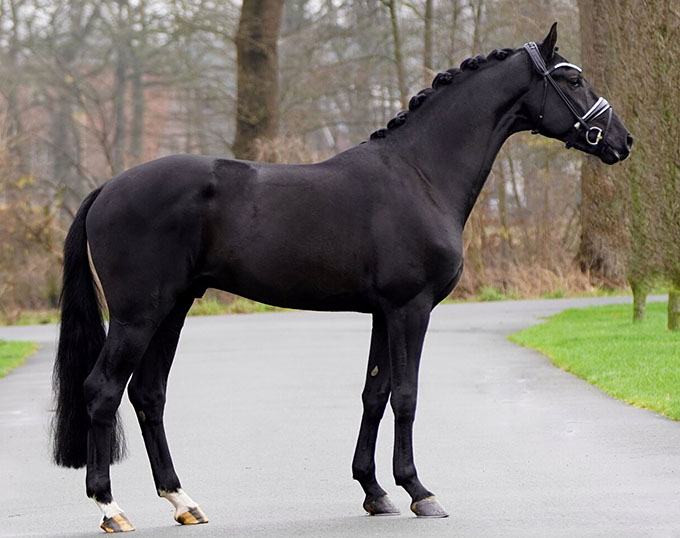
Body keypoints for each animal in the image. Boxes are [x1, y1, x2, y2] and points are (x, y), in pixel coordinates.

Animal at [52, 23, 632, 532]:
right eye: (572, 78)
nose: (622, 141)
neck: (420, 175)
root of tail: (107, 189)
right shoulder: (410, 310)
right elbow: (406, 396)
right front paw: (419, 491)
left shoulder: (382, 313)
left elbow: (374, 395)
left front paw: (374, 492)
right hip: (137, 315)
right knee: (103, 390)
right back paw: (111, 509)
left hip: (173, 309)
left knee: (149, 395)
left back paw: (183, 502)